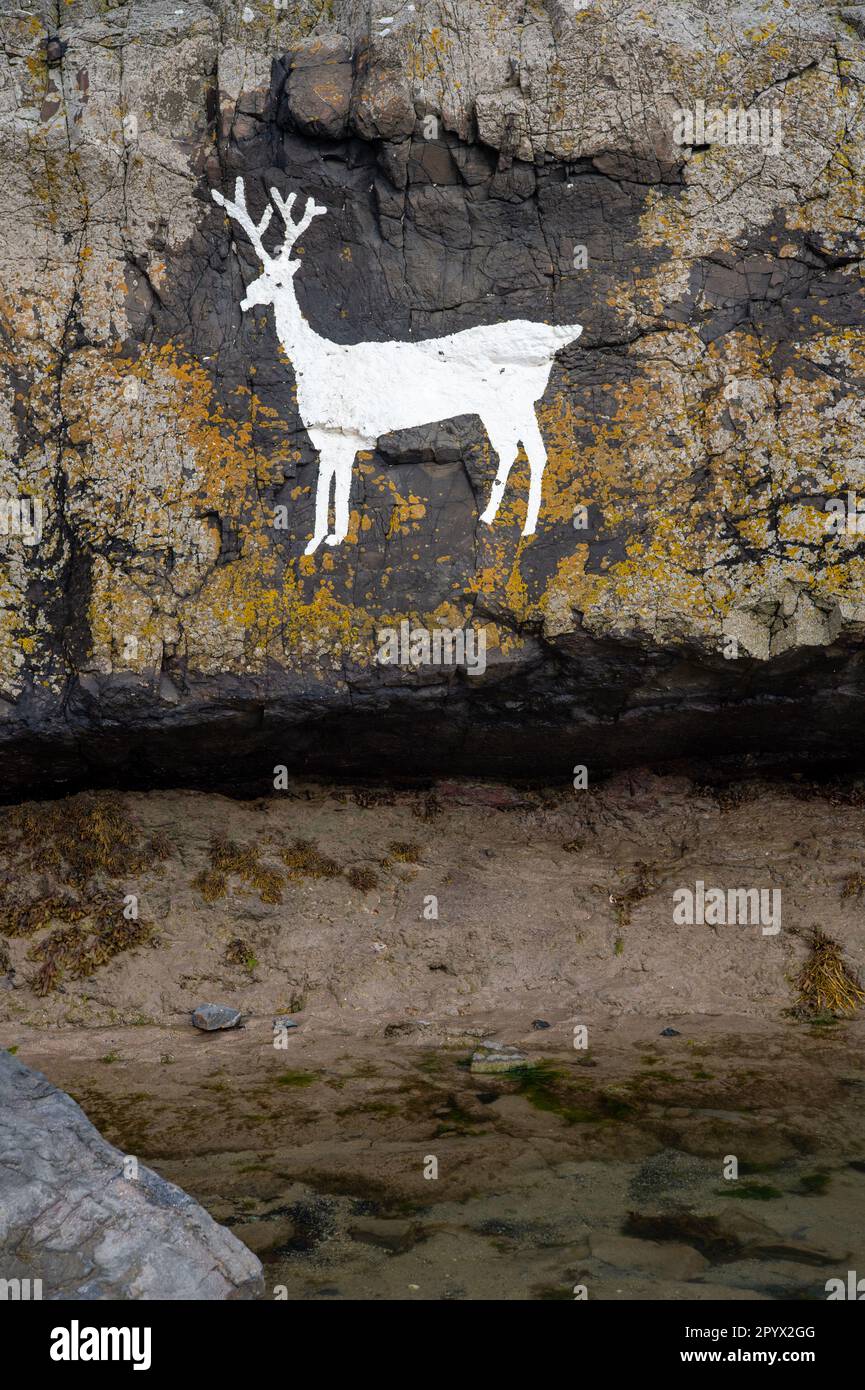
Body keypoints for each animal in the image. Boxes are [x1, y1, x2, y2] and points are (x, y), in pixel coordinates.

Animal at [212, 178, 582, 555]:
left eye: (277, 280)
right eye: (260, 273)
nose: (245, 299)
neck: (313, 361)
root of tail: (556, 338)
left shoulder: (348, 431)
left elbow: (340, 482)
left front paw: (336, 536)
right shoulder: (323, 435)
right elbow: (325, 479)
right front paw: (317, 540)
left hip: (514, 401)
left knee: (534, 453)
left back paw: (525, 526)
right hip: (496, 408)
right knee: (514, 450)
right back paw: (493, 518)